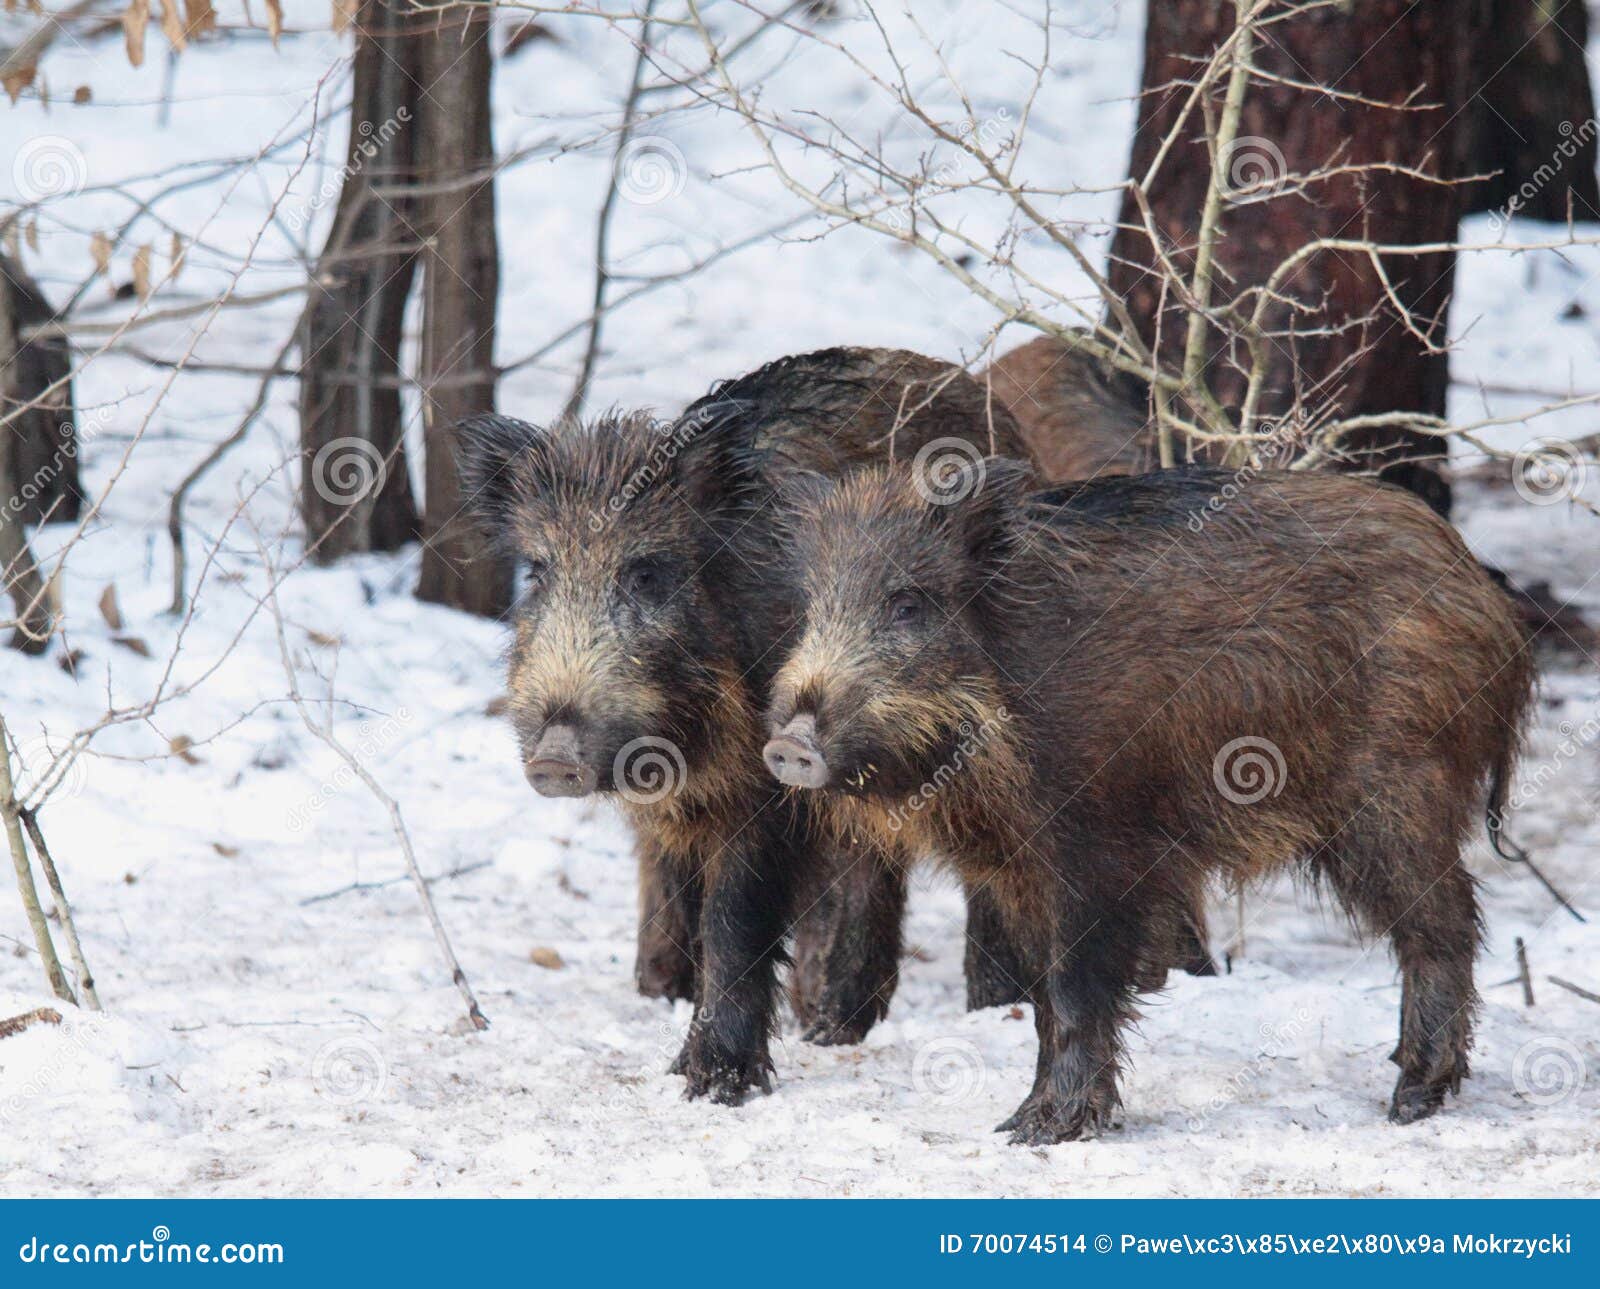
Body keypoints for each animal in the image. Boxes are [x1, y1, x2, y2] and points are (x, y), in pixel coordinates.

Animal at [762, 461, 1533, 1141]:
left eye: (907, 603)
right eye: (814, 605)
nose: (789, 745)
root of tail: (1487, 593)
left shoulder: (1099, 848)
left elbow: (1076, 988)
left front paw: (1046, 1132)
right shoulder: (1016, 869)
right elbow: (1043, 998)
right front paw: (1019, 1123)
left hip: (1399, 795)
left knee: (1446, 924)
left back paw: (1410, 1101)